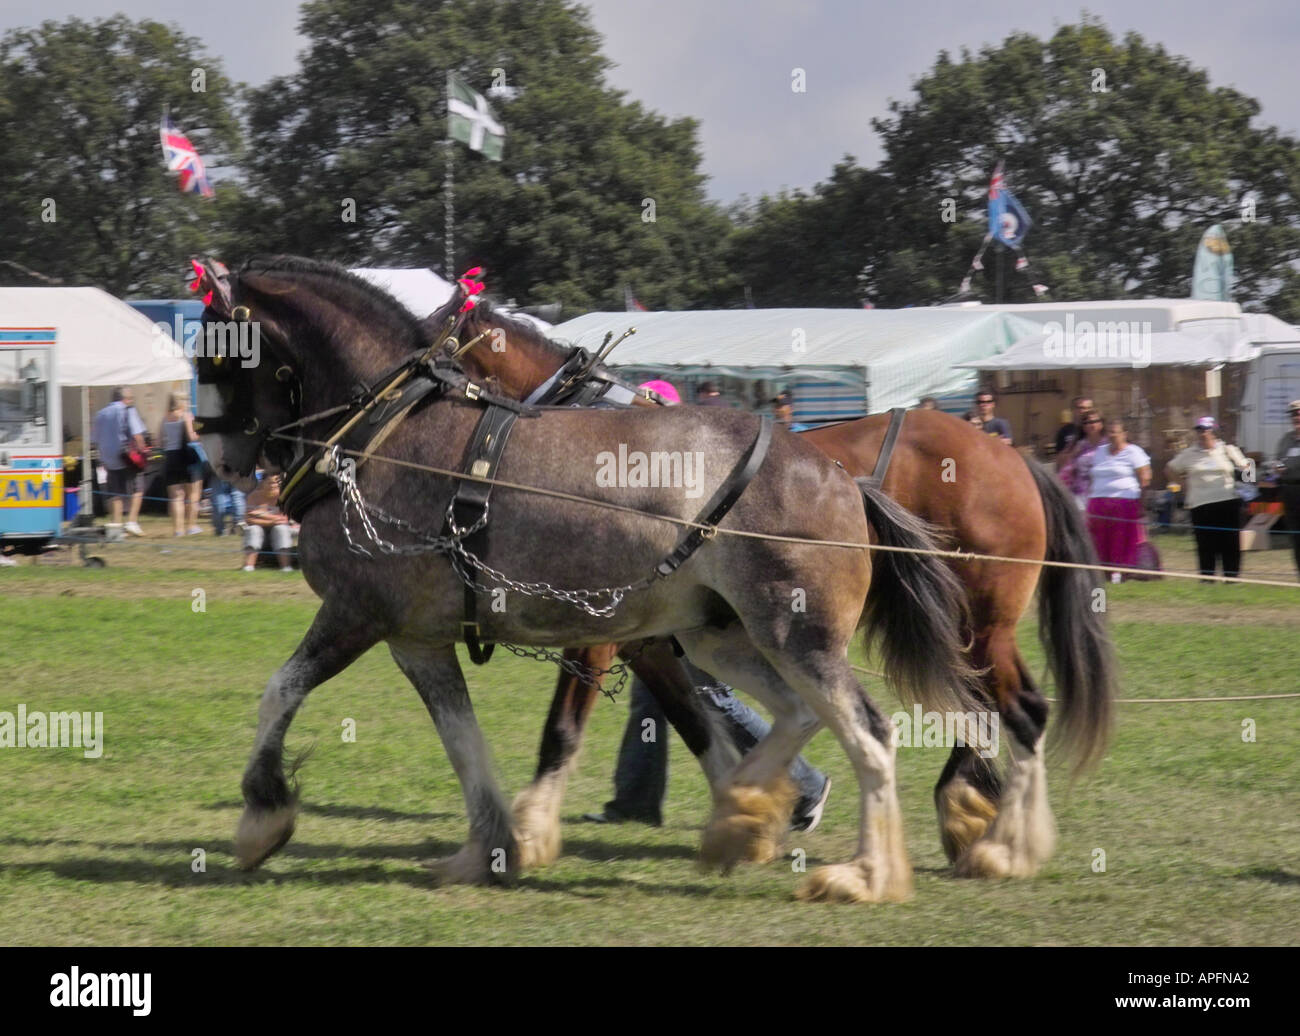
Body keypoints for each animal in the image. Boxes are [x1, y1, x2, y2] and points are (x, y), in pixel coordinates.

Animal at [192, 255, 982, 903]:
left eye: (217, 352)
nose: (219, 458)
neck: (387, 435)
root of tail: (844, 479)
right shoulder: (418, 638)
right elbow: (462, 740)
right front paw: (491, 848)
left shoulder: (358, 613)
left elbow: (280, 692)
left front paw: (262, 817)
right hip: (720, 634)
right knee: (794, 714)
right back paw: (745, 814)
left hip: (799, 635)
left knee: (868, 732)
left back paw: (866, 873)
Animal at [421, 289, 1118, 881]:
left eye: (433, 348)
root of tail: (1014, 457)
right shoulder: (651, 642)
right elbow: (696, 722)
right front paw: (748, 815)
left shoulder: (599, 630)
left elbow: (564, 726)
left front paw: (531, 830)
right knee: (982, 710)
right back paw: (973, 810)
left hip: (977, 625)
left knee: (1016, 709)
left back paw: (998, 839)